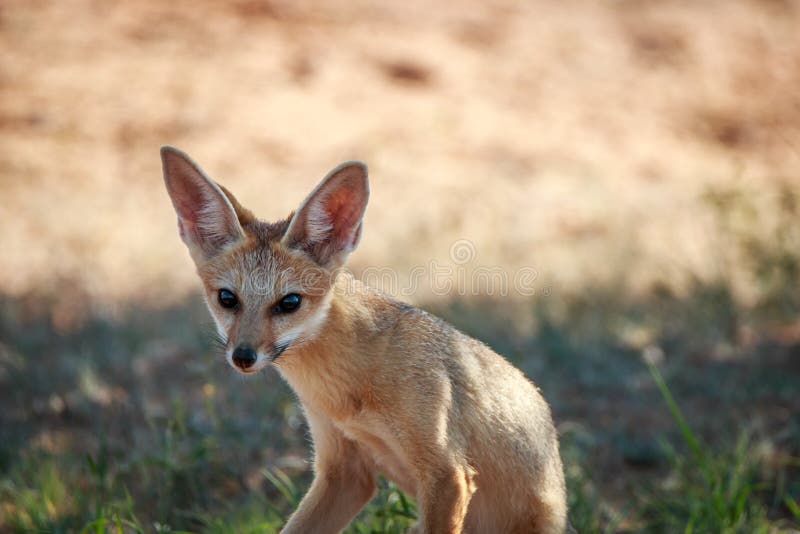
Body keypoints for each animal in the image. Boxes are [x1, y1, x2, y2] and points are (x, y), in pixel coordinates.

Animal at [160, 146, 568, 534]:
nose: (243, 357)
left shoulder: (448, 475)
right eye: (227, 299)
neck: (347, 390)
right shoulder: (345, 472)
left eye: (289, 302)